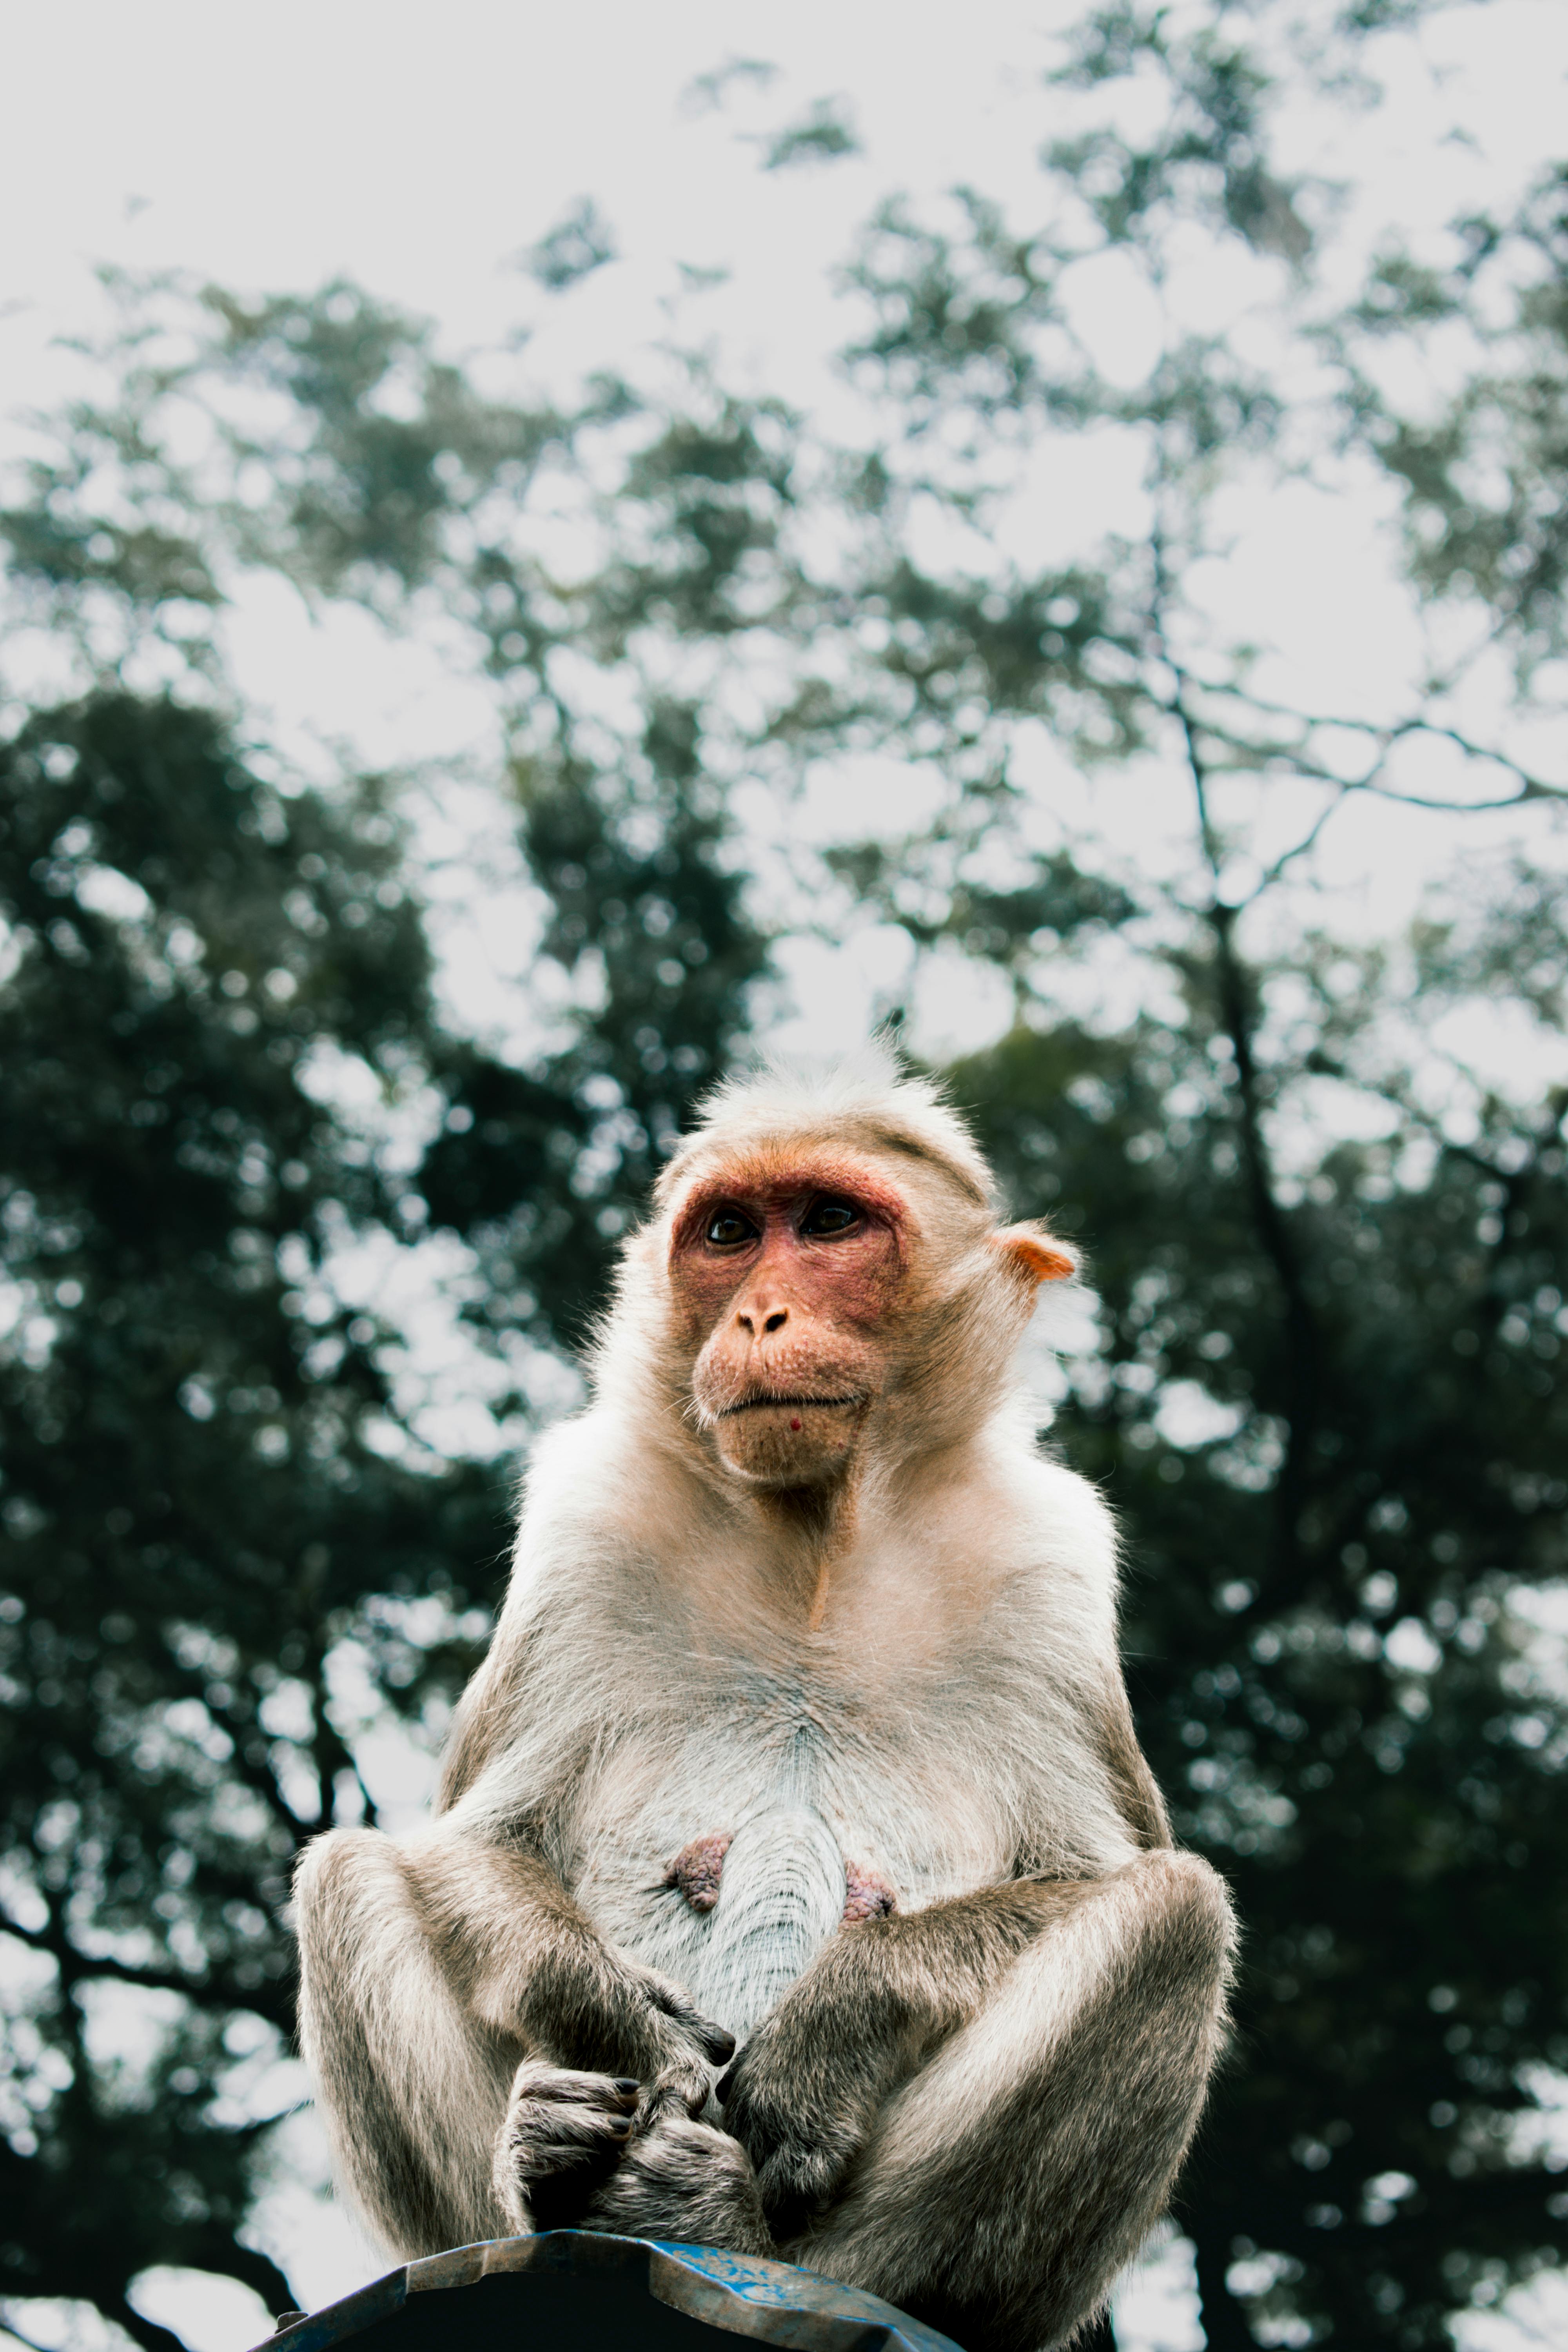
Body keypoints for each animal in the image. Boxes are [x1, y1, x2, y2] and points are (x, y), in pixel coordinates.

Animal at [294, 1049, 1235, 2352]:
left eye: (832, 1222)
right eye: (729, 1234)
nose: (758, 1316)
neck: (814, 1545)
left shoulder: (1050, 1563)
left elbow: (1096, 1873)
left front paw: (838, 2022)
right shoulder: (585, 1527)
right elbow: (481, 1845)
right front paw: (618, 2022)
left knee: (1175, 1916)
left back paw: (729, 2220)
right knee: (345, 1873)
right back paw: (546, 2161)